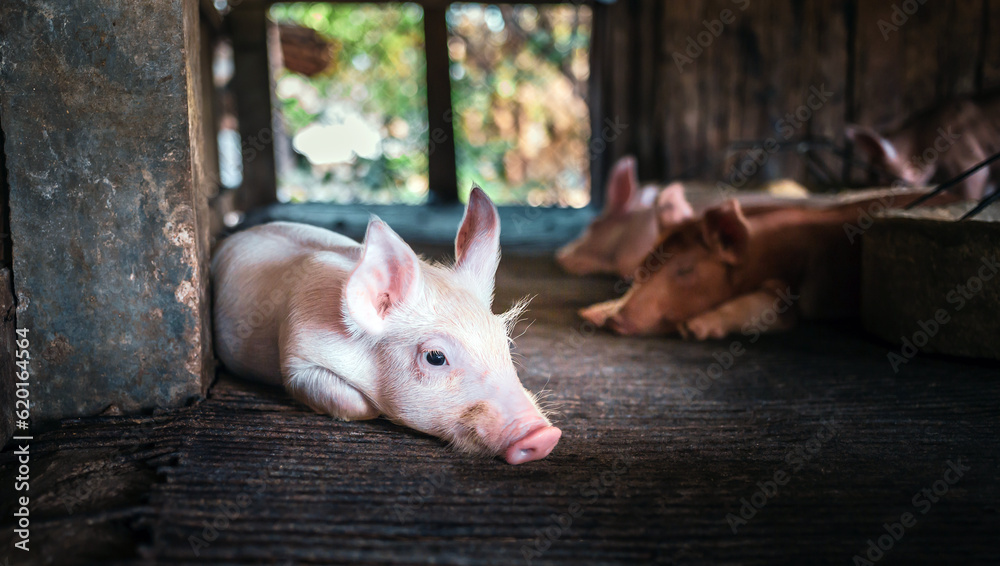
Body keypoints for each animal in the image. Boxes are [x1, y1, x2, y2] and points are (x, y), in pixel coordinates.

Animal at [578, 192, 942, 339]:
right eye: (643, 267)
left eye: (685, 271)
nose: (617, 321)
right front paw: (592, 314)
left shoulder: (790, 296)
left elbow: (774, 310)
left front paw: (694, 328)